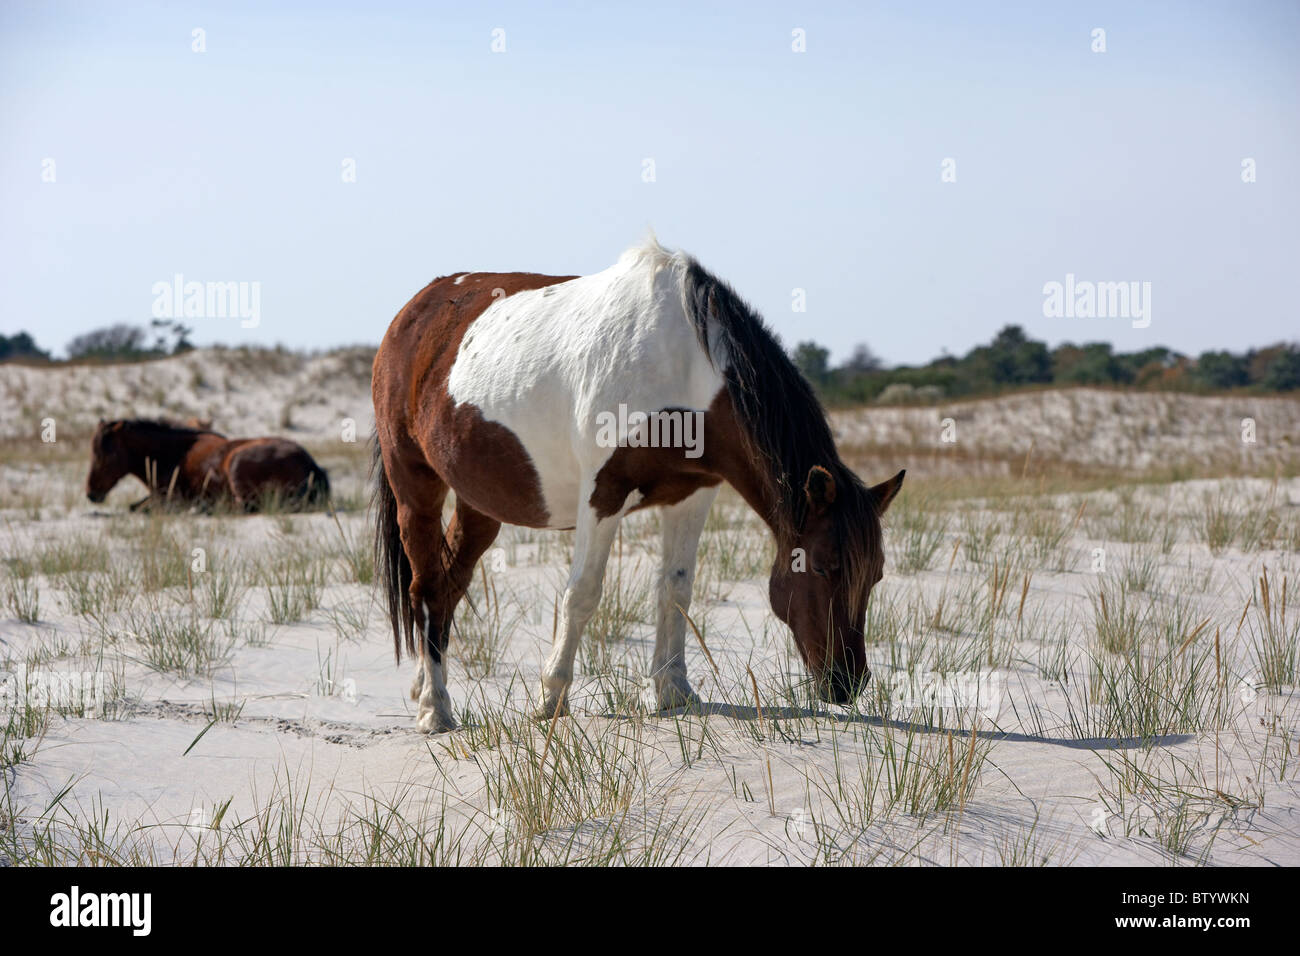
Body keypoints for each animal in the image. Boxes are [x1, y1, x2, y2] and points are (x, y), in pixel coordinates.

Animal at [86, 418, 330, 512]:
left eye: (107, 454)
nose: (91, 493)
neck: (174, 454)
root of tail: (311, 463)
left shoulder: (167, 497)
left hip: (237, 466)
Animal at [372, 237, 904, 733]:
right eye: (823, 567)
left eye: (876, 574)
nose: (847, 683)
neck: (683, 369)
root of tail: (413, 311)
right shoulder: (603, 494)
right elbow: (582, 594)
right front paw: (551, 697)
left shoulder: (693, 494)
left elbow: (675, 589)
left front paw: (672, 691)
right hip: (414, 485)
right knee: (425, 586)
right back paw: (435, 708)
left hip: (480, 503)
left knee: (448, 584)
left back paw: (425, 685)